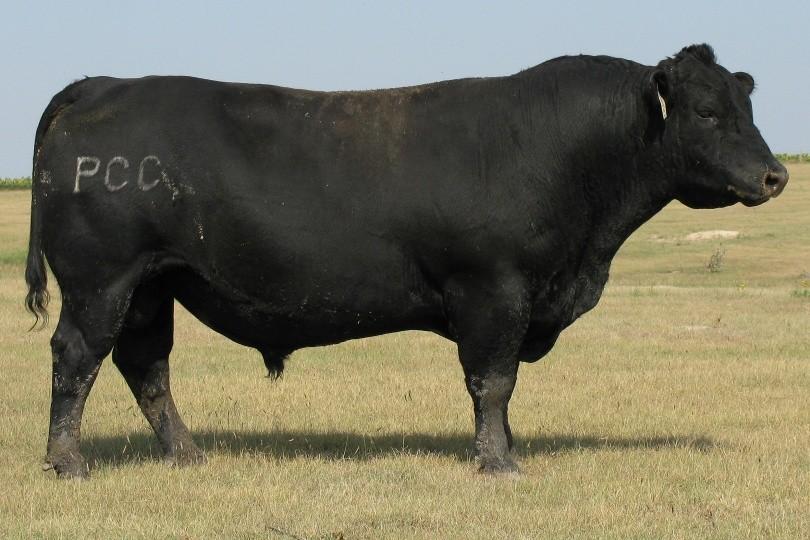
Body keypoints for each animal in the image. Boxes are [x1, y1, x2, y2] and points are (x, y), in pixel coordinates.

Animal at [26, 44, 787, 479]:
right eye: (707, 111)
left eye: (745, 104)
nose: (775, 175)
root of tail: (104, 84)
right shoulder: (494, 290)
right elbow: (493, 381)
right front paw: (498, 463)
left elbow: (501, 389)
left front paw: (507, 449)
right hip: (101, 281)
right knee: (78, 358)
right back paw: (68, 462)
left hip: (153, 285)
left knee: (146, 366)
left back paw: (186, 455)